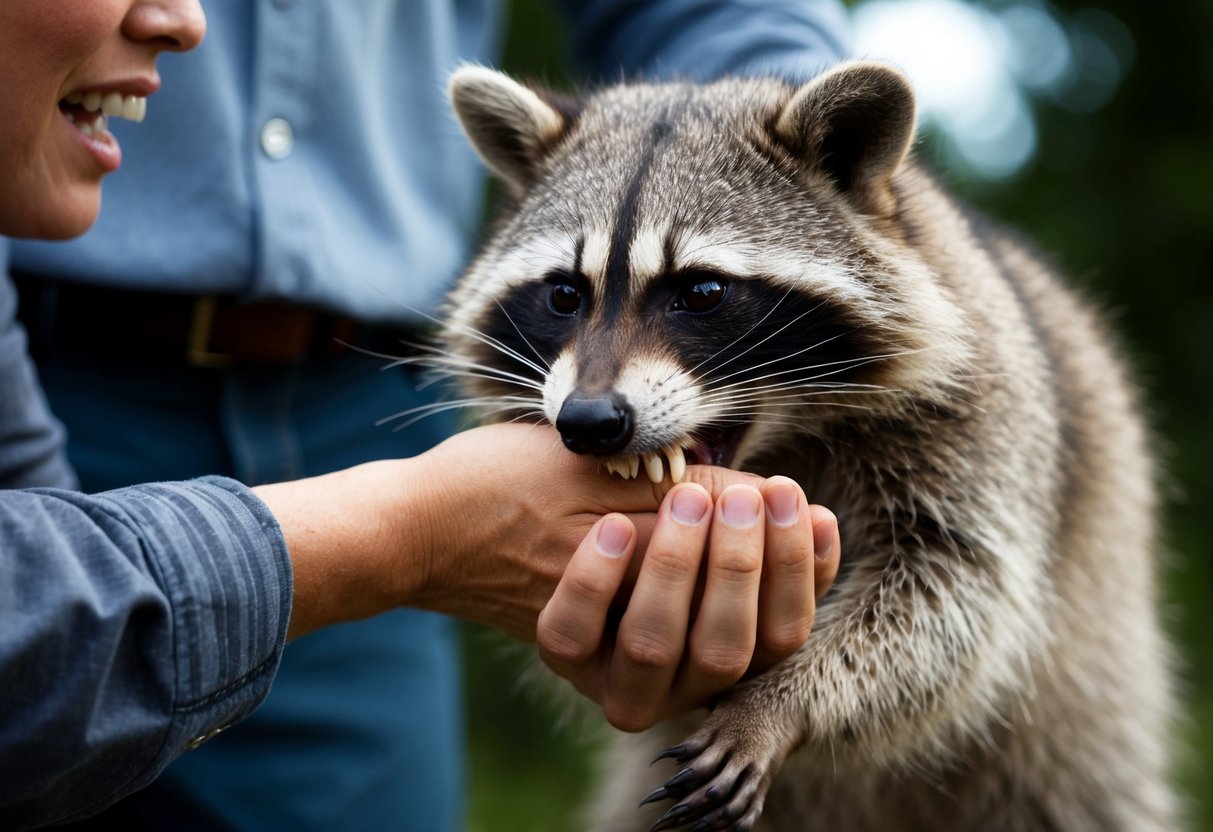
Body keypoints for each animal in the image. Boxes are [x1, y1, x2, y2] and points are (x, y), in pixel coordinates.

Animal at [439, 61, 1179, 831]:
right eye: (563, 294)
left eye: (701, 291)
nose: (587, 420)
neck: (784, 437)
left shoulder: (983, 410)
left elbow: (954, 596)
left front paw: (781, 704)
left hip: (1075, 740)